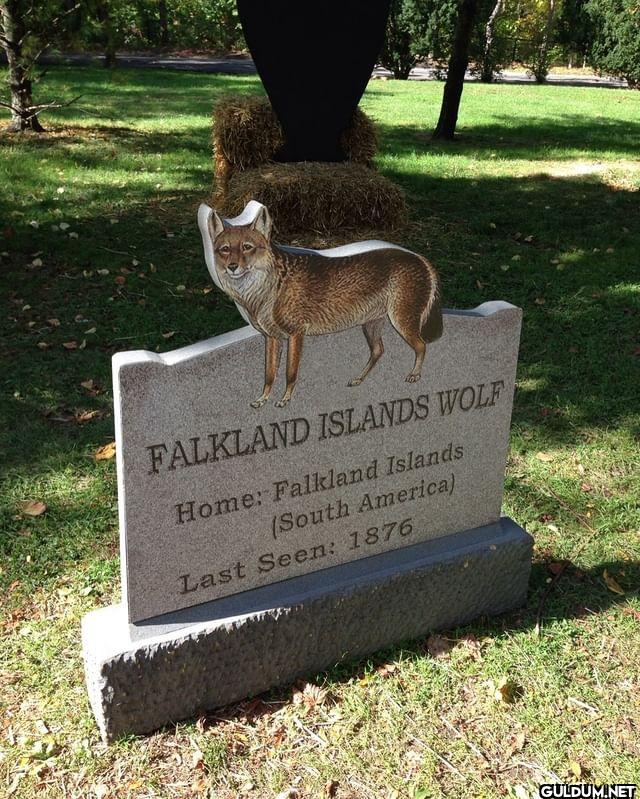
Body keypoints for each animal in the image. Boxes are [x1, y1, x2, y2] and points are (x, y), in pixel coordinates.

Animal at [198, 201, 442, 408]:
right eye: (225, 249)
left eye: (247, 247)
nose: (232, 267)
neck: (267, 290)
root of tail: (421, 259)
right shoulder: (272, 339)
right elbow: (269, 375)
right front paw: (262, 399)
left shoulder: (296, 335)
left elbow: (290, 373)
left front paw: (285, 400)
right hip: (371, 326)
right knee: (379, 351)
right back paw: (358, 379)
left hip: (401, 323)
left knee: (421, 346)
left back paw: (415, 375)